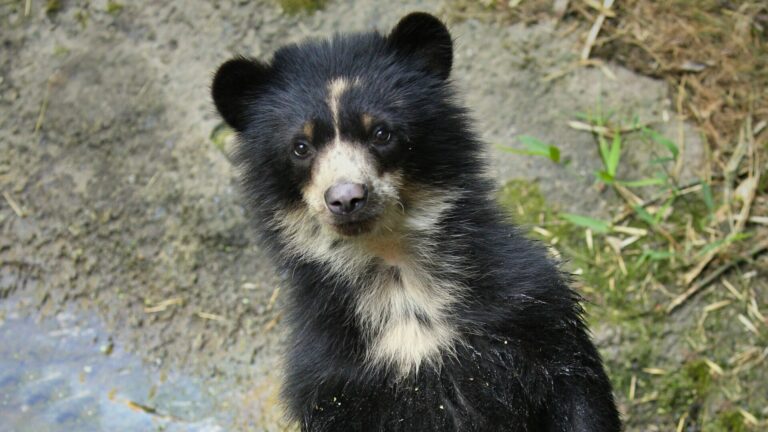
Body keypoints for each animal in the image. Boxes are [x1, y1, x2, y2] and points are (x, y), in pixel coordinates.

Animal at [212, 12, 621, 432]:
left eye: (381, 132)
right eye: (300, 147)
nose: (346, 199)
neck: (396, 272)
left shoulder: (529, 308)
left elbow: (576, 386)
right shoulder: (333, 377)